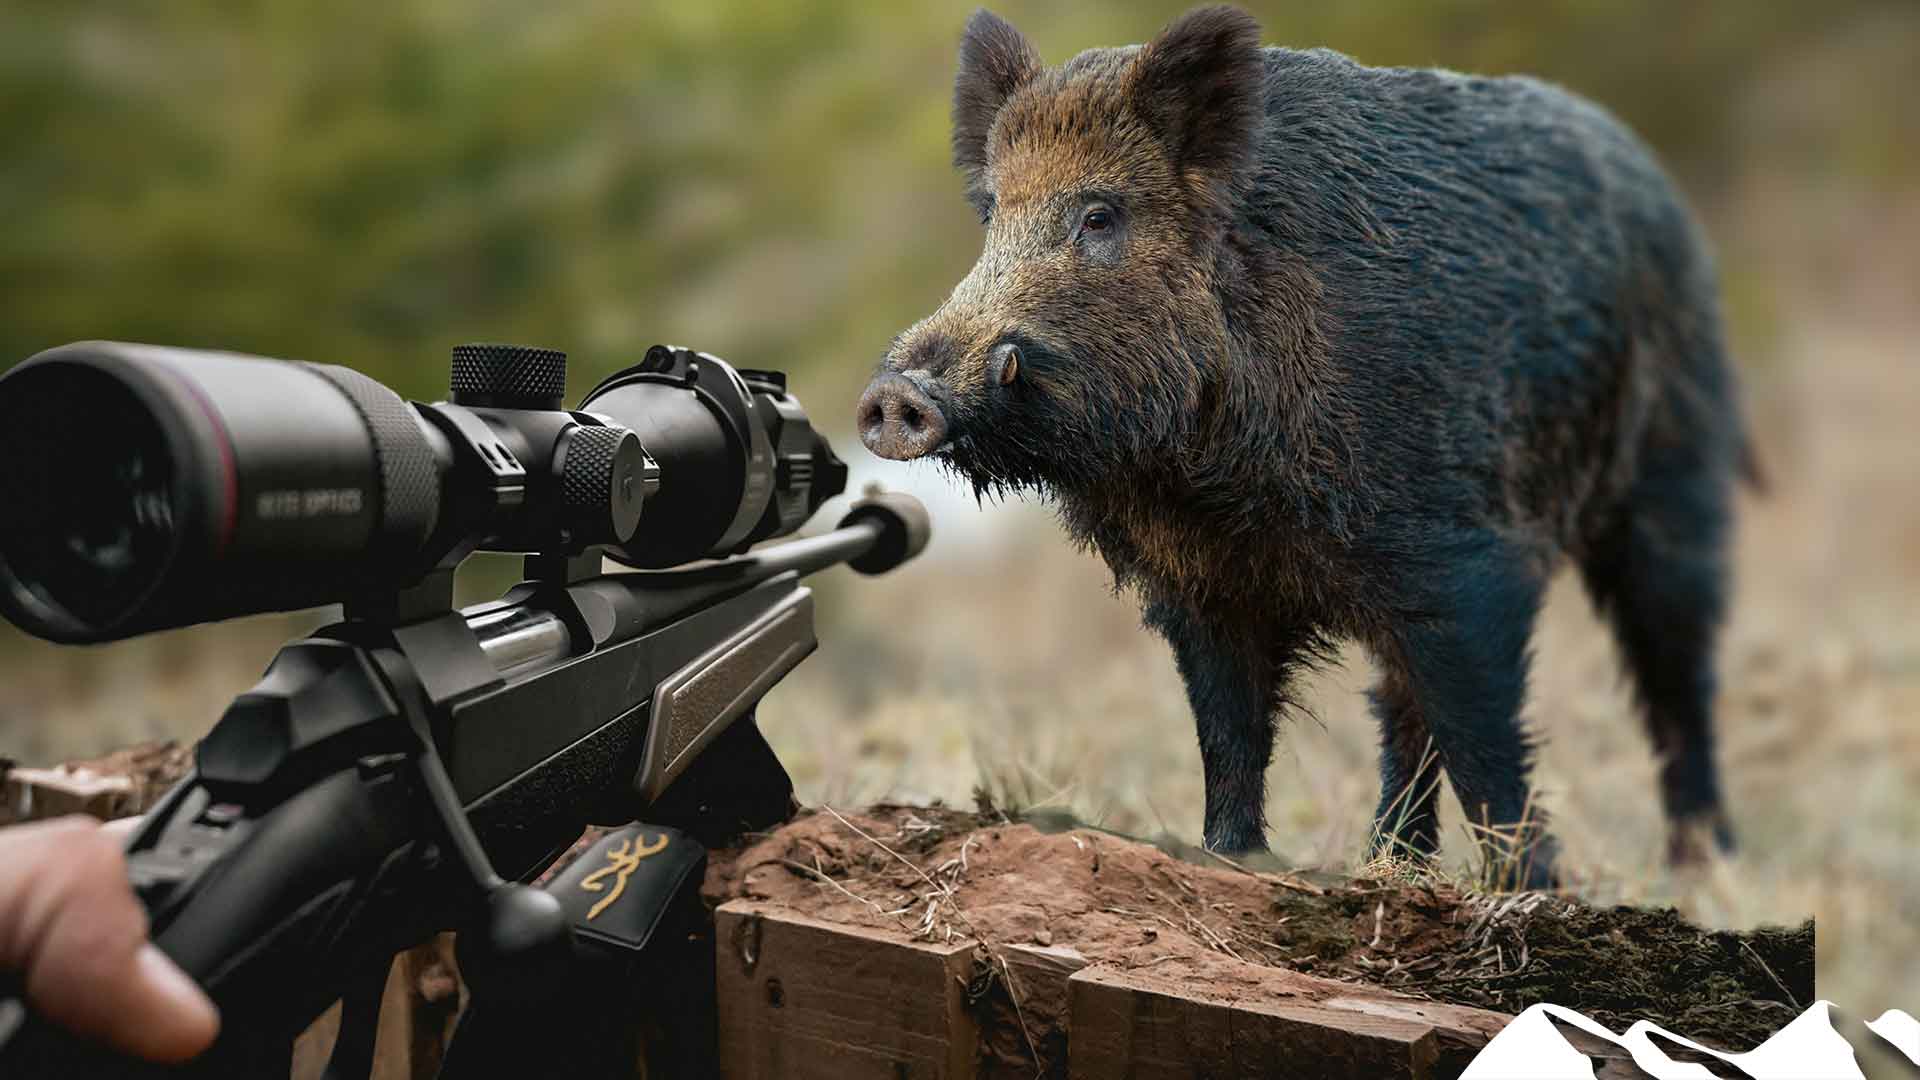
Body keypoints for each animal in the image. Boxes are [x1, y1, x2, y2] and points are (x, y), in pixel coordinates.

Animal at [858, 6, 1755, 886]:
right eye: (992, 215)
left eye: (1100, 215)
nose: (899, 395)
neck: (1211, 481)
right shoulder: (1202, 590)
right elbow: (1230, 736)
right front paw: (1232, 862)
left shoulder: (1465, 562)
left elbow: (1486, 746)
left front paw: (1528, 894)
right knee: (1401, 706)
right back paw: (1391, 863)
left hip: (1671, 473)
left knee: (1675, 664)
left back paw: (1702, 869)